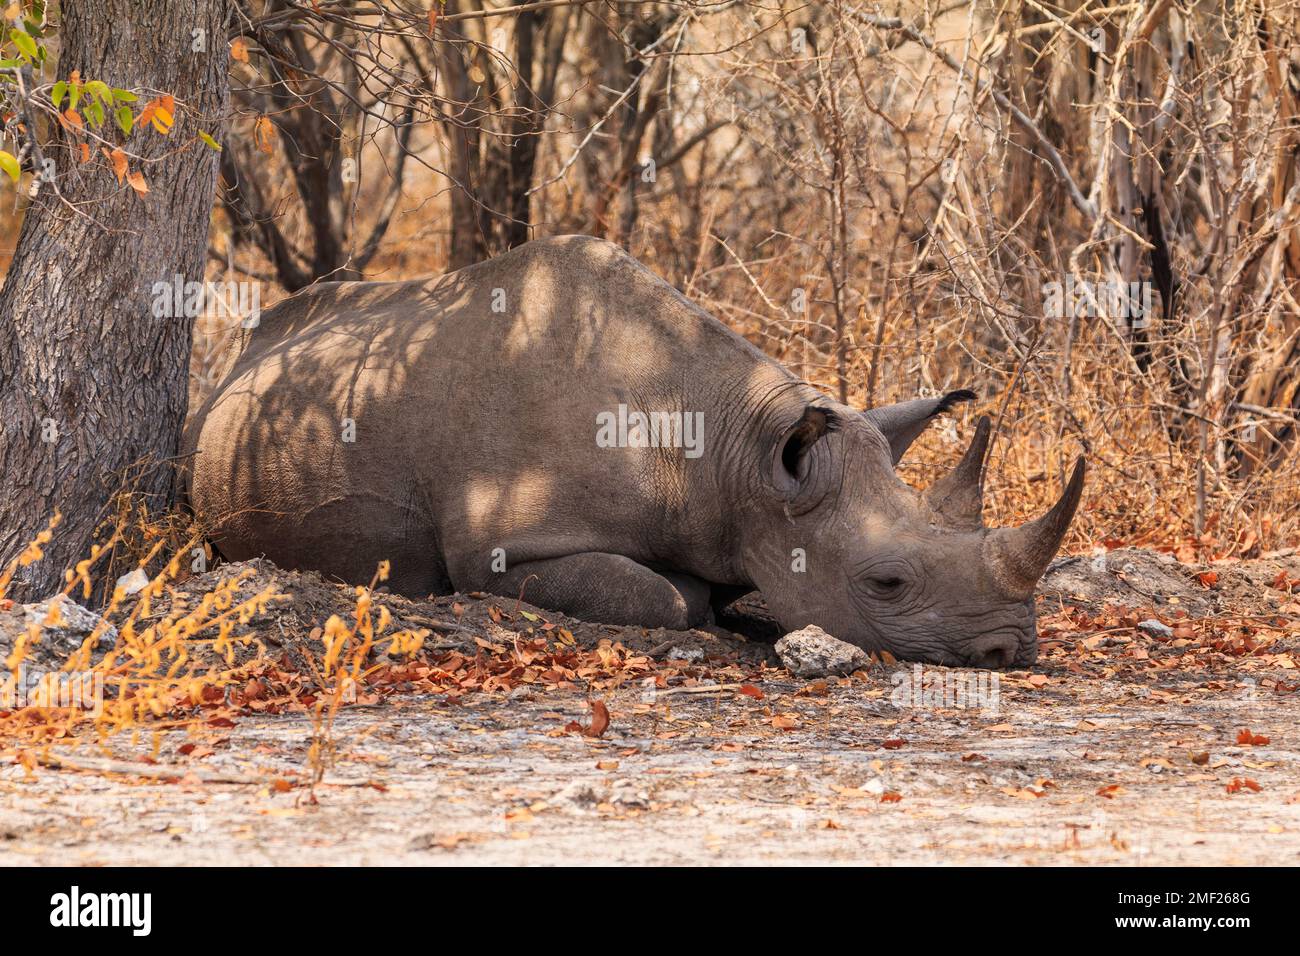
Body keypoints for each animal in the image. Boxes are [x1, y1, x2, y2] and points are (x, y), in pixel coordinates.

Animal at [185, 235, 1084, 668]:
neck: (735, 451)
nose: (1010, 650)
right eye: (887, 583)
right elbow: (665, 599)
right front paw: (695, 600)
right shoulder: (503, 548)